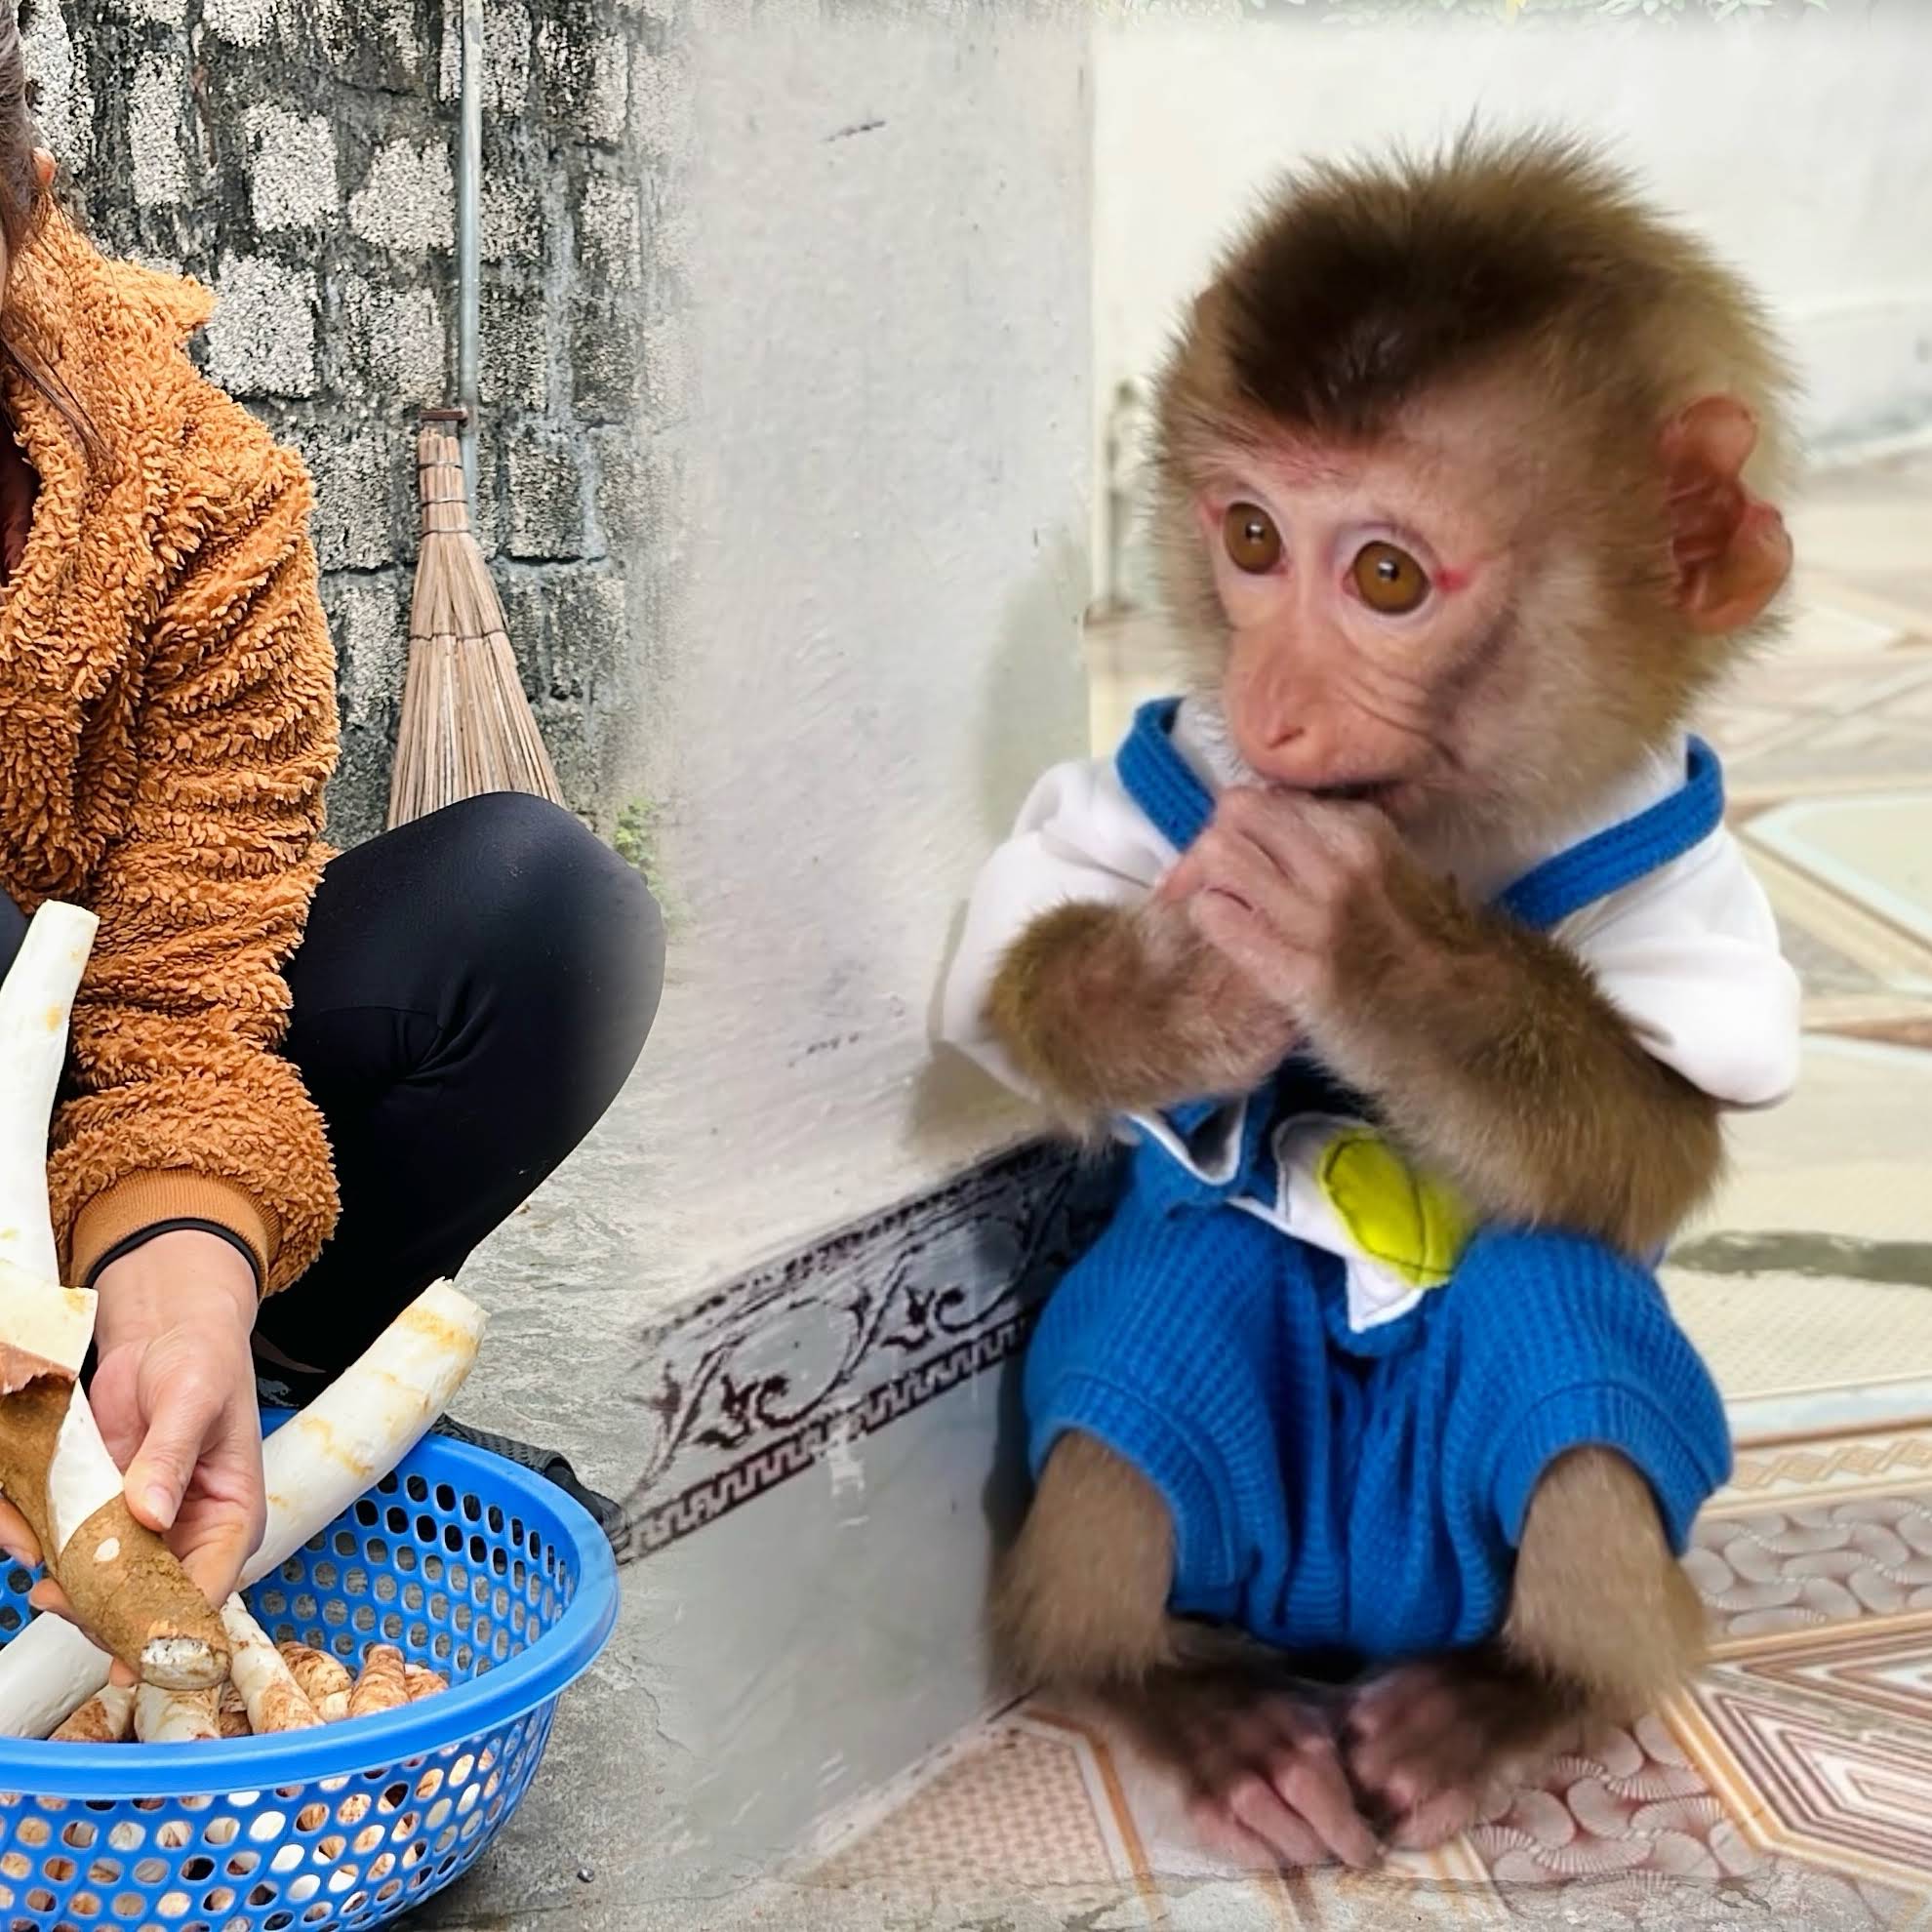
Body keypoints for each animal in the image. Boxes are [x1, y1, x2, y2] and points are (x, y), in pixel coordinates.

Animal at [936, 131, 1804, 1870]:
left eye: (1388, 576)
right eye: (1254, 540)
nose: (1270, 705)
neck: (1459, 823)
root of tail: (1346, 1610)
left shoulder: (1700, 894)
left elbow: (1653, 1155)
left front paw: (1377, 953)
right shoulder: (1160, 784)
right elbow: (1002, 973)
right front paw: (1182, 989)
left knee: (1571, 1339)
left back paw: (1519, 1696)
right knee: (1149, 1344)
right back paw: (1175, 1690)